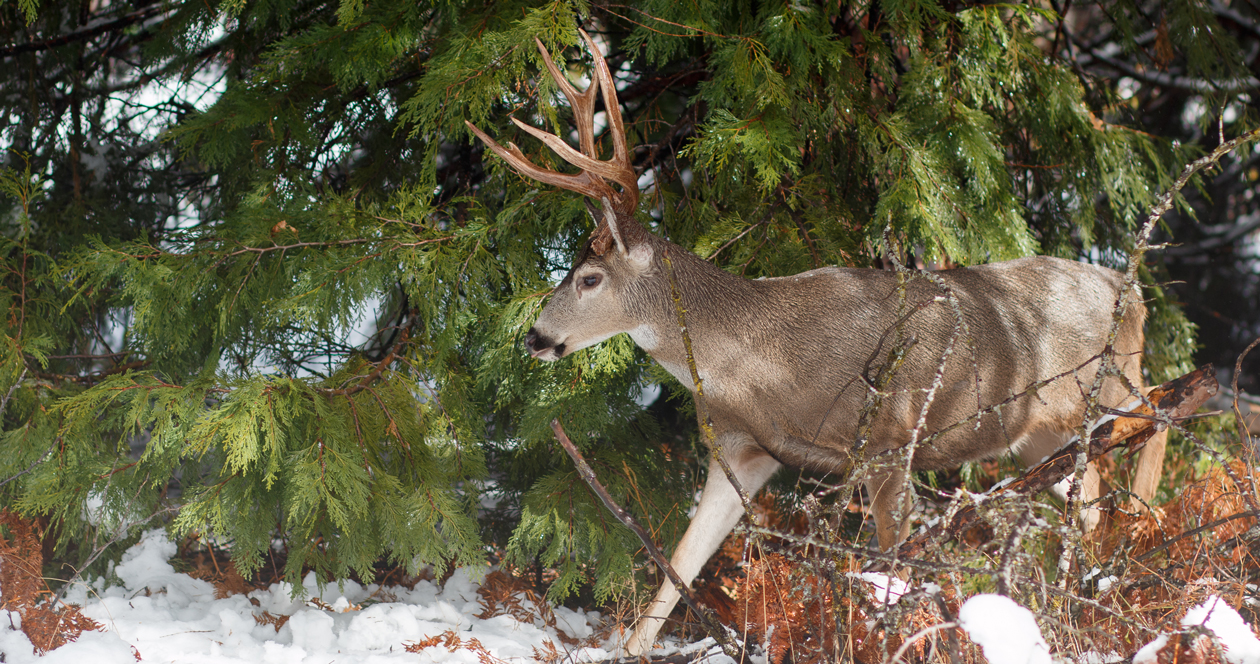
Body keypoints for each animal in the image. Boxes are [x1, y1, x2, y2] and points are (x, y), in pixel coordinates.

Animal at [466, 31, 1169, 657]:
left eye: (589, 277)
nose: (534, 336)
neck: (761, 362)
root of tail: (1128, 288)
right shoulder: (743, 449)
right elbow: (680, 564)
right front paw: (631, 648)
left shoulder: (888, 437)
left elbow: (894, 563)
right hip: (1040, 434)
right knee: (1089, 499)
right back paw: (1088, 586)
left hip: (1109, 383)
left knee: (1162, 411)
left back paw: (1143, 529)